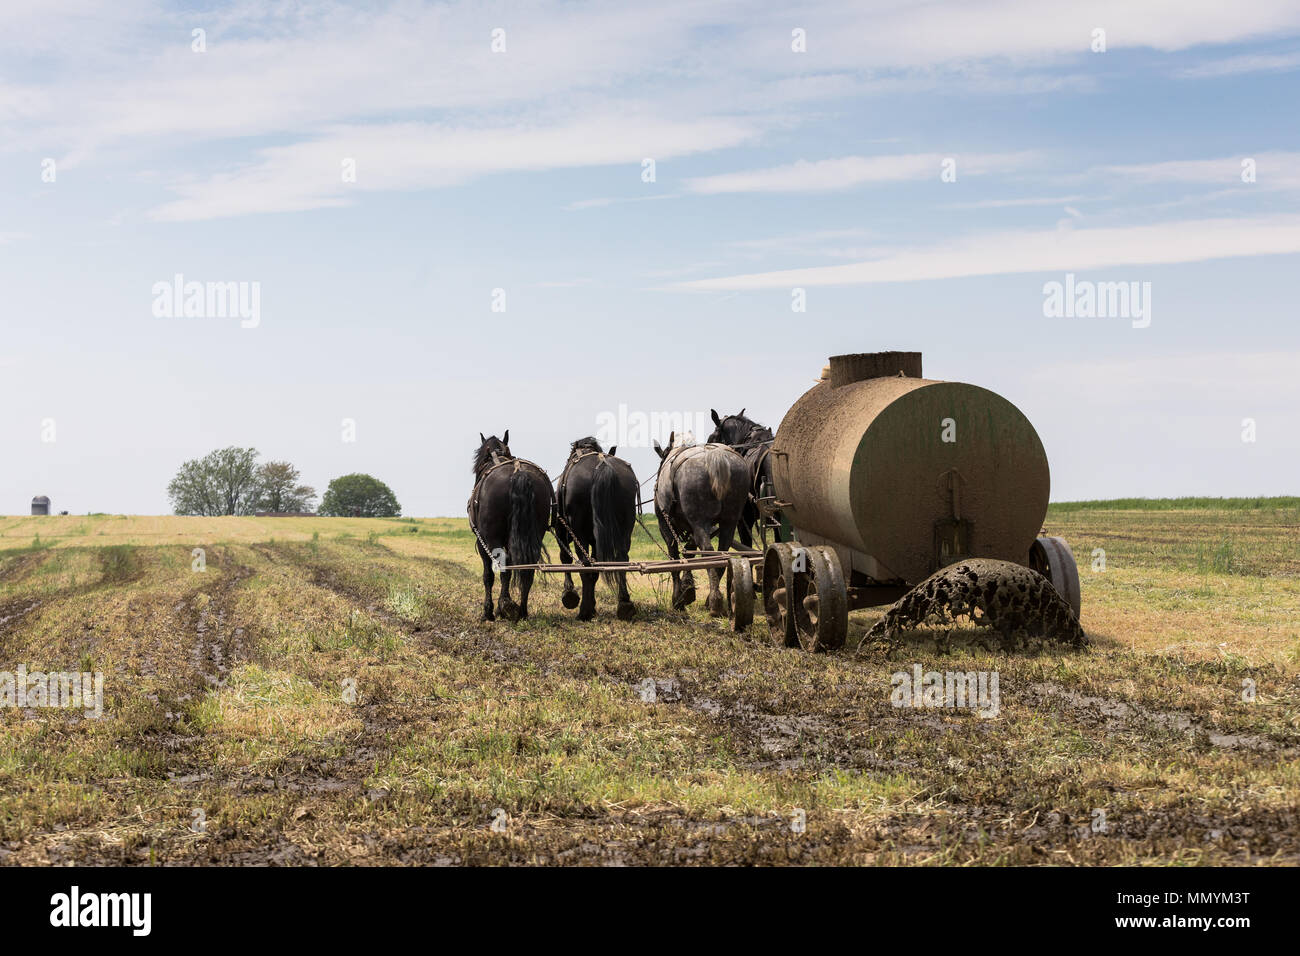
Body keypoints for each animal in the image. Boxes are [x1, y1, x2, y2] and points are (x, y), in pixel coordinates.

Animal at [469, 432, 553, 622]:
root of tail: (518, 473)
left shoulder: (482, 540)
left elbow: (489, 575)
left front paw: (489, 611)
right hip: (535, 533)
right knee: (527, 570)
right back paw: (522, 611)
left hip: (492, 537)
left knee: (503, 568)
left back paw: (503, 606)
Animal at [553, 437, 639, 621]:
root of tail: (602, 466)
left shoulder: (562, 531)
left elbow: (566, 557)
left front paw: (569, 594)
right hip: (625, 529)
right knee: (622, 560)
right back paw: (624, 604)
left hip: (578, 533)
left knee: (585, 566)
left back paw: (584, 612)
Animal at [652, 432, 749, 616]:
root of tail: (717, 456)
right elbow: (689, 551)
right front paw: (687, 589)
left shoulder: (666, 525)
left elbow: (675, 557)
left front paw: (678, 598)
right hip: (729, 520)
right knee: (721, 552)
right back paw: (711, 599)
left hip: (699, 521)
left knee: (708, 551)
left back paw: (715, 602)